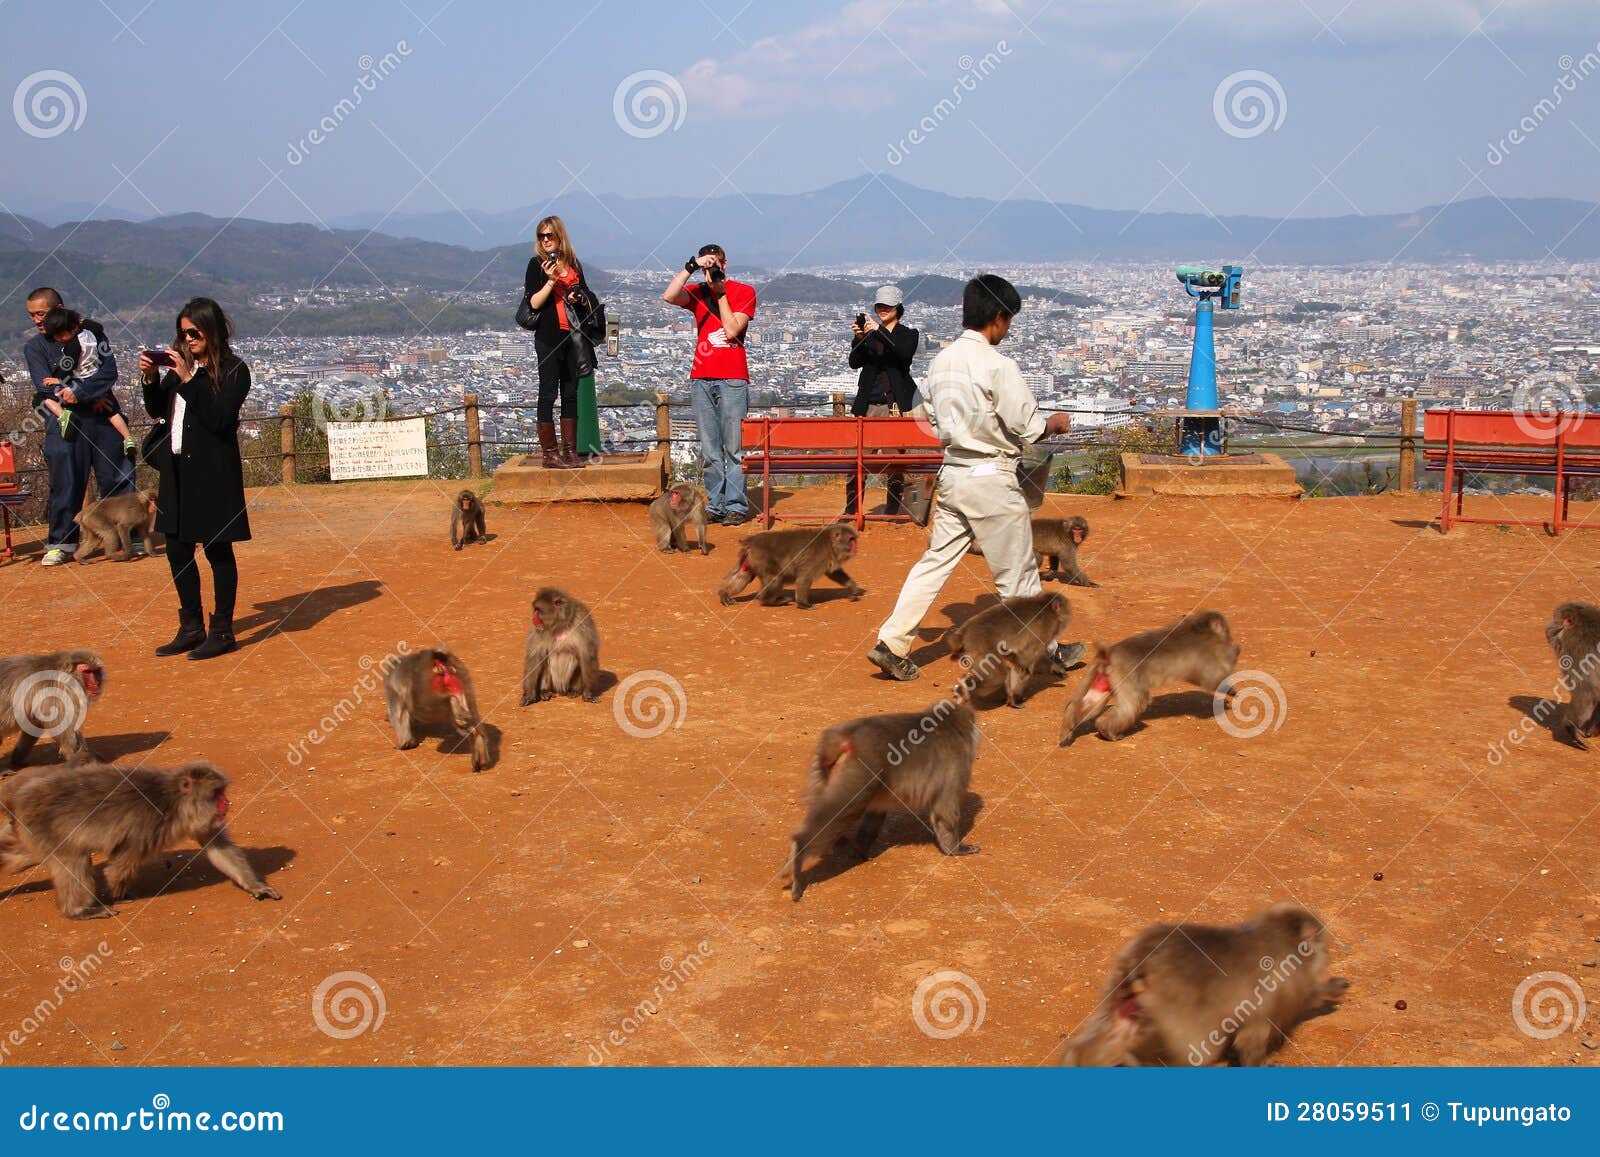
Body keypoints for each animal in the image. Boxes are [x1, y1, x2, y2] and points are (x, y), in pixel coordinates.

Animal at [0, 760, 281, 919]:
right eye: (217, 793)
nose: (227, 803)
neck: (175, 801)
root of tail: (17, 794)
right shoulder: (147, 823)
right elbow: (119, 865)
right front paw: (118, 893)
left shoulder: (201, 819)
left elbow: (219, 849)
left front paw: (255, 885)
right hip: (42, 824)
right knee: (73, 858)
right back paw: (78, 911)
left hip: (30, 831)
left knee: (22, 853)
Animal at [716, 524, 863, 609]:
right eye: (851, 540)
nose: (856, 548)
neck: (830, 543)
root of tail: (752, 541)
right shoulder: (817, 557)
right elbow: (804, 578)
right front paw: (803, 604)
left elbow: (834, 572)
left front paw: (853, 588)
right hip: (761, 559)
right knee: (776, 579)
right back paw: (769, 601)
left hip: (750, 561)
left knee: (743, 575)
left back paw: (724, 594)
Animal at [783, 701, 979, 901]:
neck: (949, 726)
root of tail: (843, 736)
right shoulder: (955, 764)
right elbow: (945, 812)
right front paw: (955, 849)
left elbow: (875, 814)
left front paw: (861, 850)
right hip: (861, 769)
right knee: (845, 808)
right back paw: (799, 851)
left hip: (828, 773)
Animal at [1060, 610, 1240, 746]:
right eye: (1227, 631)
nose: (1230, 638)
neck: (1199, 628)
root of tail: (1110, 651)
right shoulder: (1206, 652)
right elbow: (1212, 679)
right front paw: (1234, 663)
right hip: (1127, 674)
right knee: (1135, 704)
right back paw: (1107, 730)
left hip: (1104, 675)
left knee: (1091, 702)